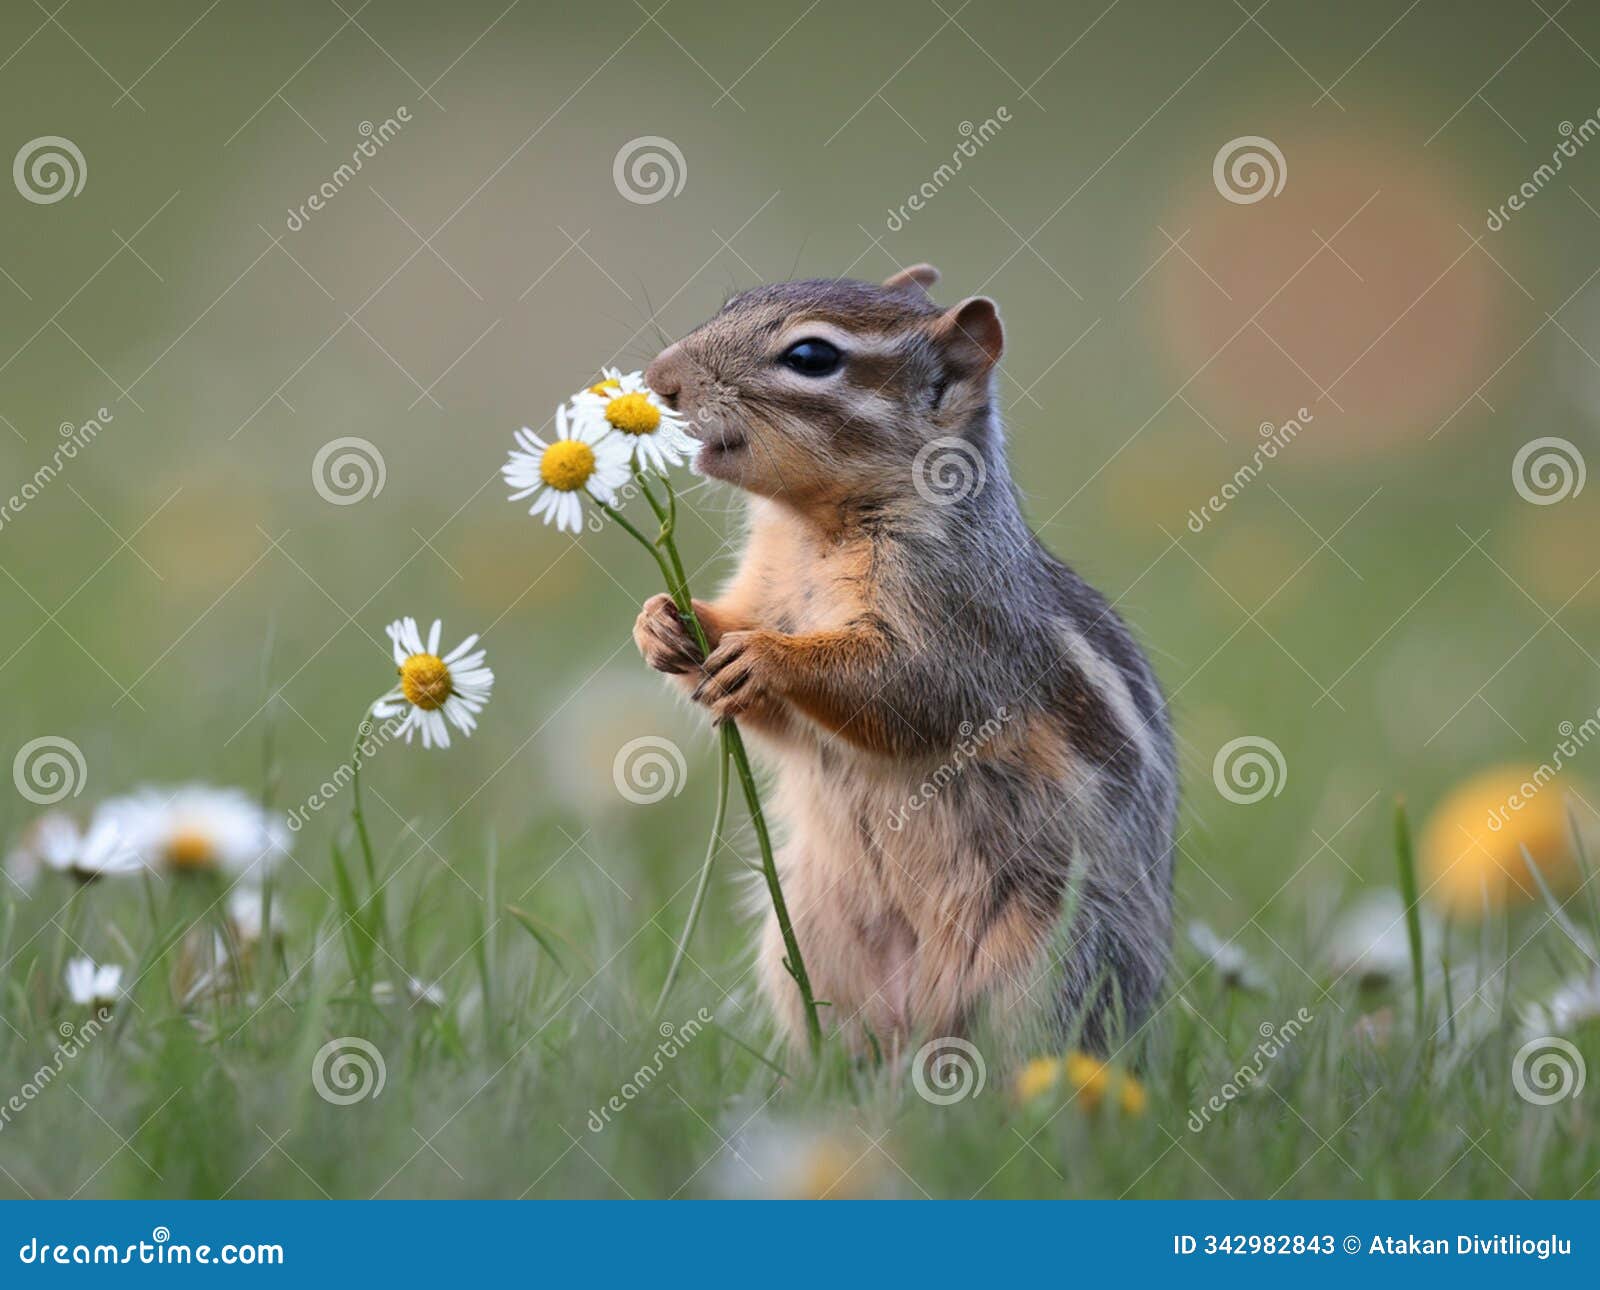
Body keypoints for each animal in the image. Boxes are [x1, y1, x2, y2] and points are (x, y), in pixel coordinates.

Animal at [634, 264, 1176, 1063]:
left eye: (812, 357)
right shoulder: (764, 587)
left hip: (1048, 962)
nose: (659, 380)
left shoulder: (958, 621)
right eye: (731, 304)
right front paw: (663, 624)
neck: (813, 527)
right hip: (809, 939)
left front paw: (770, 657)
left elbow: (910, 692)